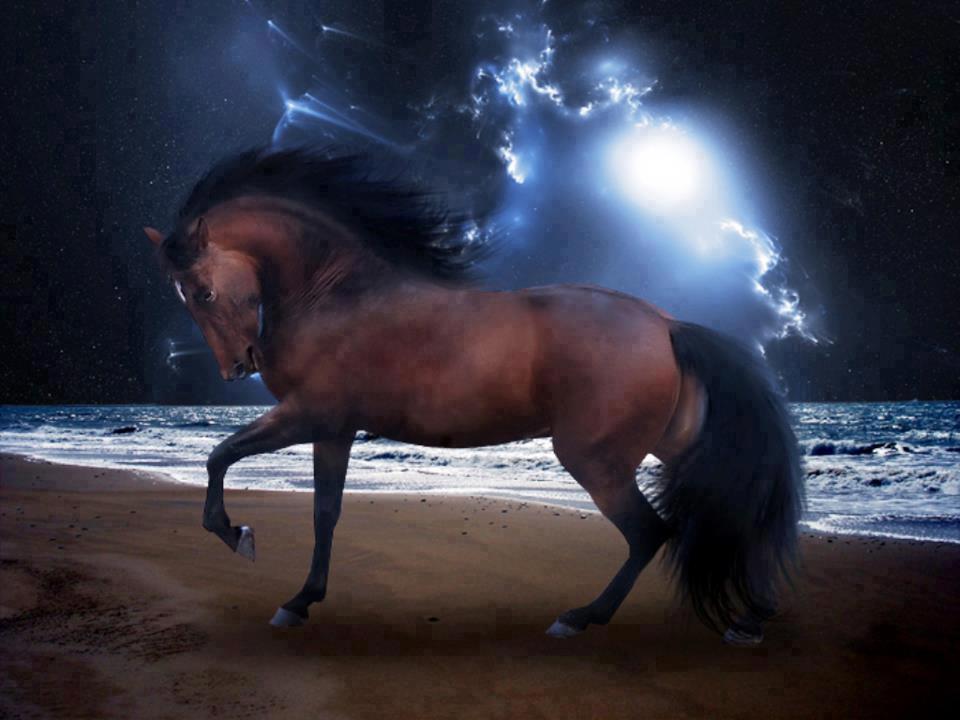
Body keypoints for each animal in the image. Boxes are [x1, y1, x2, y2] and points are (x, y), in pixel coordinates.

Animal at [144, 146, 803, 645]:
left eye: (200, 292)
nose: (236, 367)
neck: (336, 295)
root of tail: (666, 325)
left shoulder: (310, 416)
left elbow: (220, 456)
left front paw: (240, 538)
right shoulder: (334, 430)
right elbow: (323, 511)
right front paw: (301, 600)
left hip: (595, 459)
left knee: (650, 533)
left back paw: (581, 619)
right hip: (671, 443)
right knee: (733, 510)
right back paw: (751, 619)